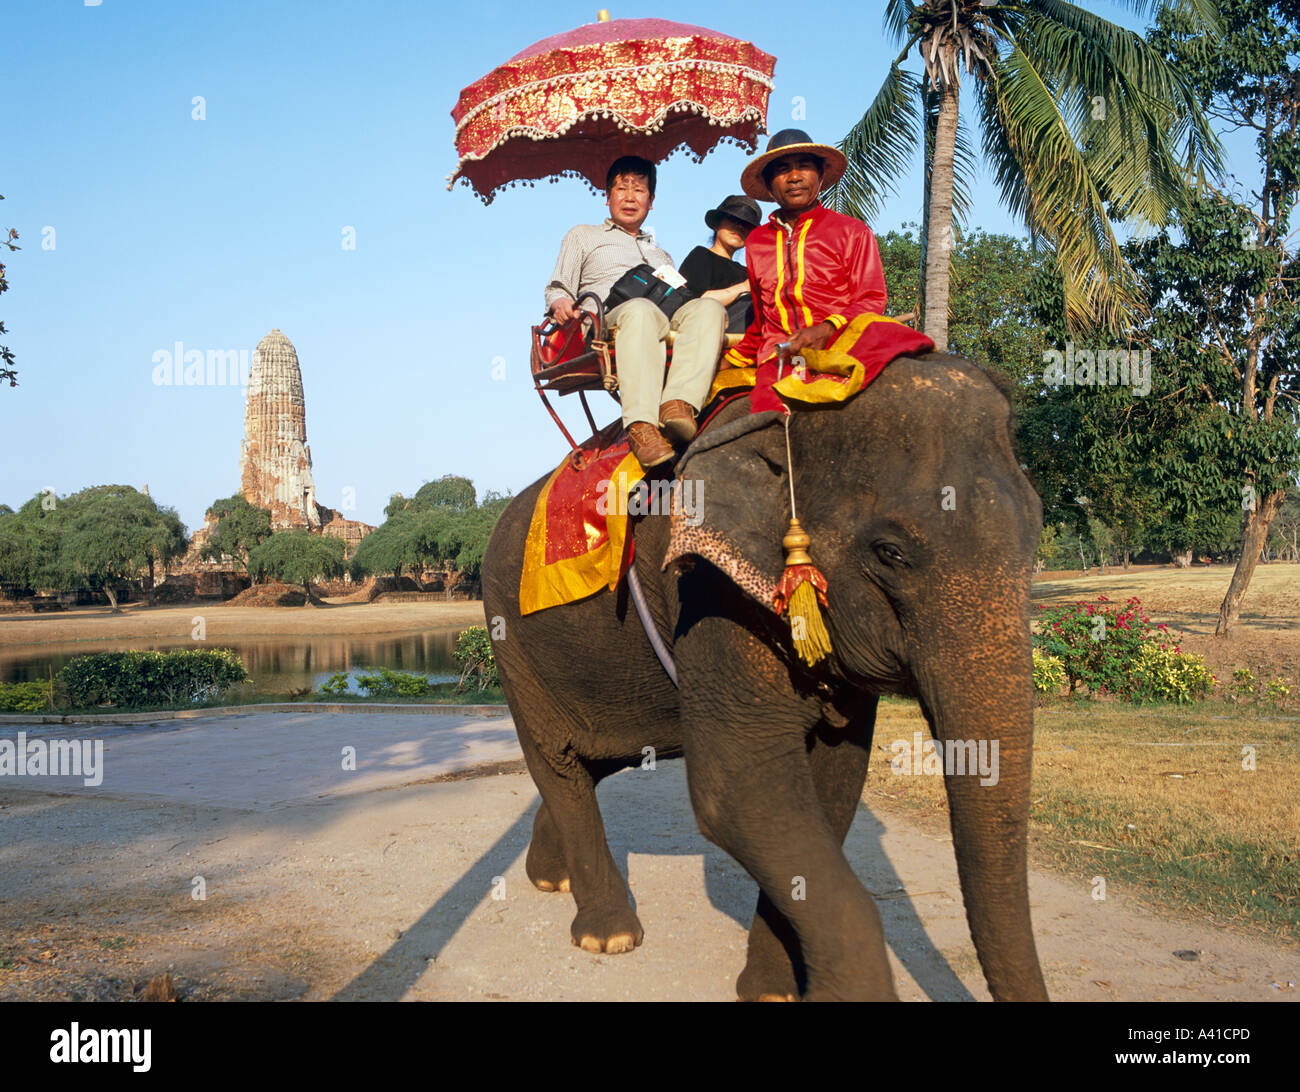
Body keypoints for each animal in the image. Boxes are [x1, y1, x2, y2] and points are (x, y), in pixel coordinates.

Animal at [481, 350, 1049, 1002]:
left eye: (1038, 530)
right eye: (890, 553)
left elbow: (832, 786)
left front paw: (773, 991)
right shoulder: (707, 585)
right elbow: (740, 787)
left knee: (596, 759)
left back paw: (550, 879)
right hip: (511, 640)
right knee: (558, 763)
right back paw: (609, 935)